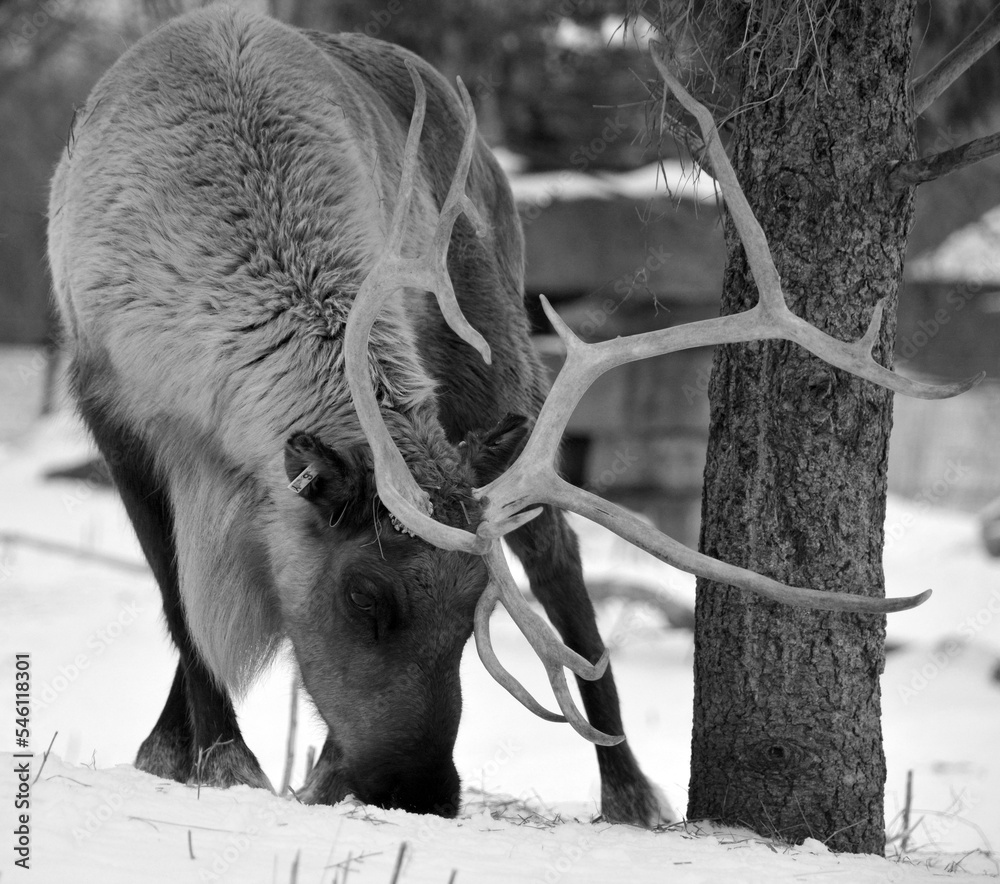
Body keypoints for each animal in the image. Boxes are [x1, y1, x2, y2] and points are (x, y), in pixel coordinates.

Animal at [47, 4, 975, 825]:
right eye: (365, 598)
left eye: (472, 617)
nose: (419, 793)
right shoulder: (109, 400)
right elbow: (181, 598)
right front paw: (204, 752)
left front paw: (227, 757)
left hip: (494, 340)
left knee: (559, 554)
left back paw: (628, 790)